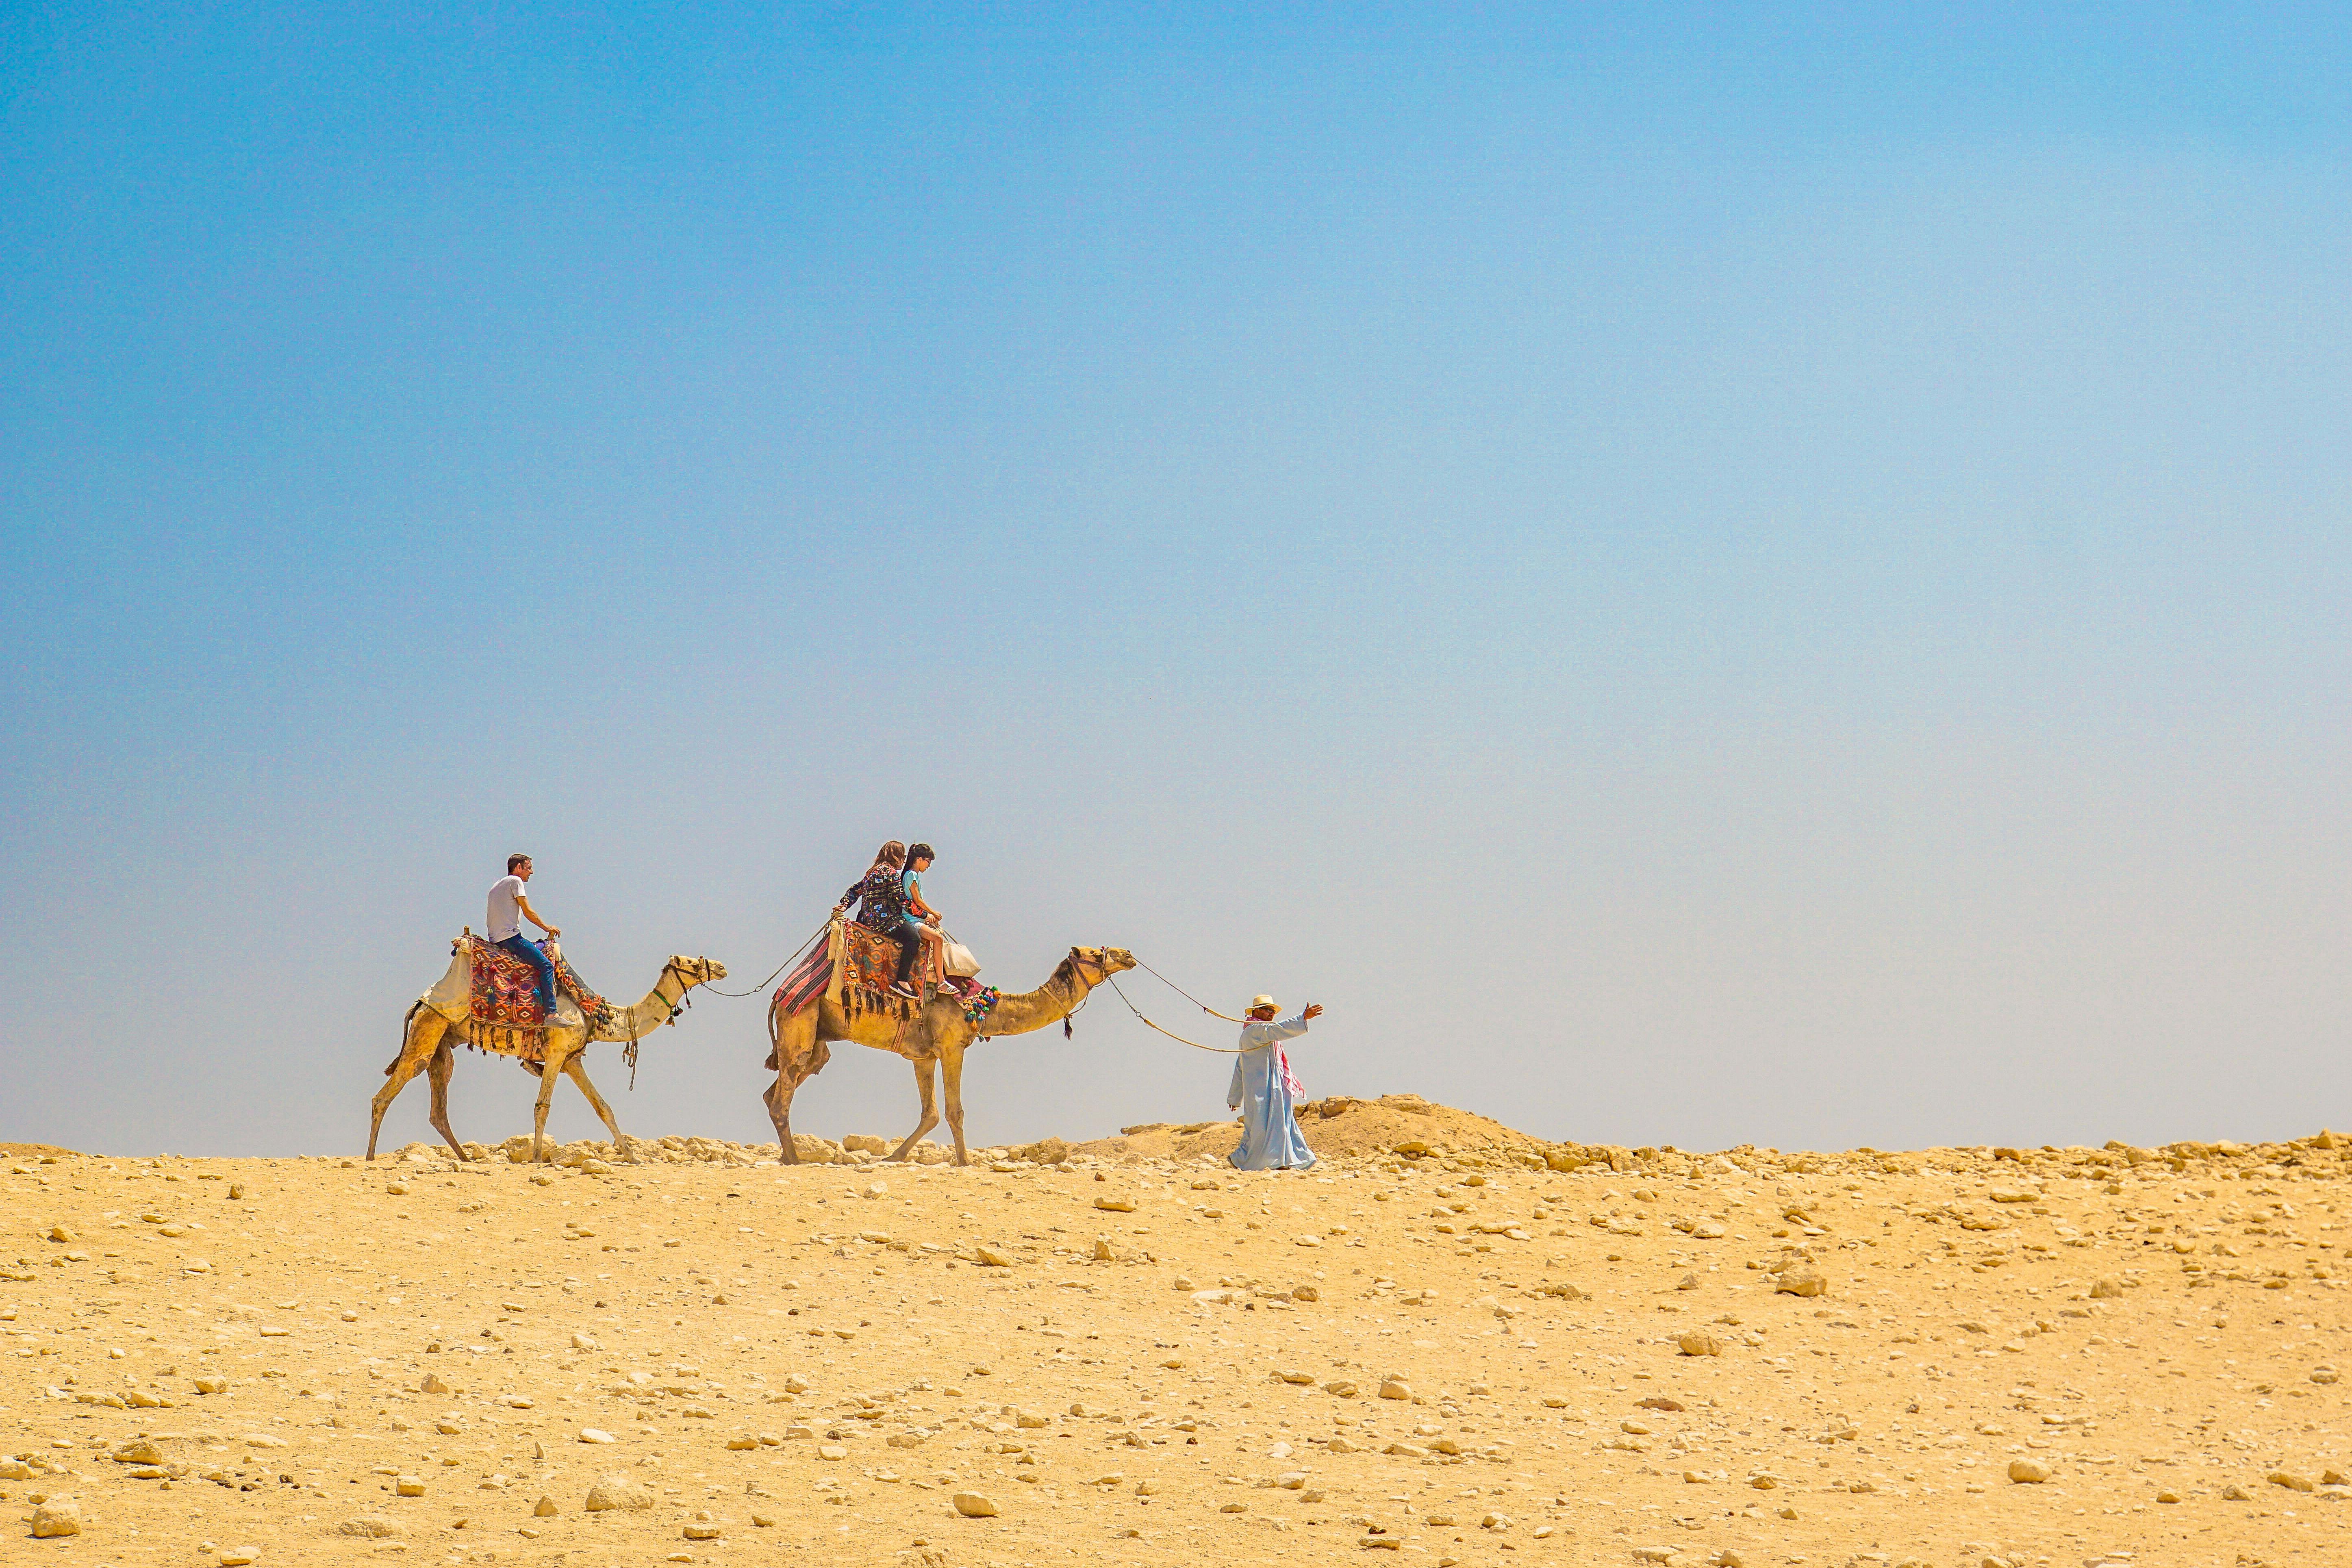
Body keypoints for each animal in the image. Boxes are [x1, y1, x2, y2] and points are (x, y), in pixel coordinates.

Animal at [369, 944, 728, 1164]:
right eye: (692, 962)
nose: (722, 967)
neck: (596, 1015)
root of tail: (420, 1003)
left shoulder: (572, 1061)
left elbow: (604, 1108)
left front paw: (633, 1157)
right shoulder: (556, 1054)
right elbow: (542, 1107)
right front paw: (537, 1159)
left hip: (442, 1045)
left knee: (438, 1107)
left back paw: (467, 1159)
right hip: (428, 1028)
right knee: (389, 1091)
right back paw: (371, 1157)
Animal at [764, 944, 1136, 1166]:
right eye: (1095, 951)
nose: (1128, 954)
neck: (983, 1006)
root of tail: (778, 995)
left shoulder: (923, 1056)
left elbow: (929, 1114)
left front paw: (894, 1157)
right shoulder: (951, 1047)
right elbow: (954, 1111)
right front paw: (965, 1162)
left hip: (815, 1041)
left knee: (778, 1089)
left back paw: (787, 1155)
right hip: (799, 1022)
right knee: (782, 1097)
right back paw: (794, 1160)